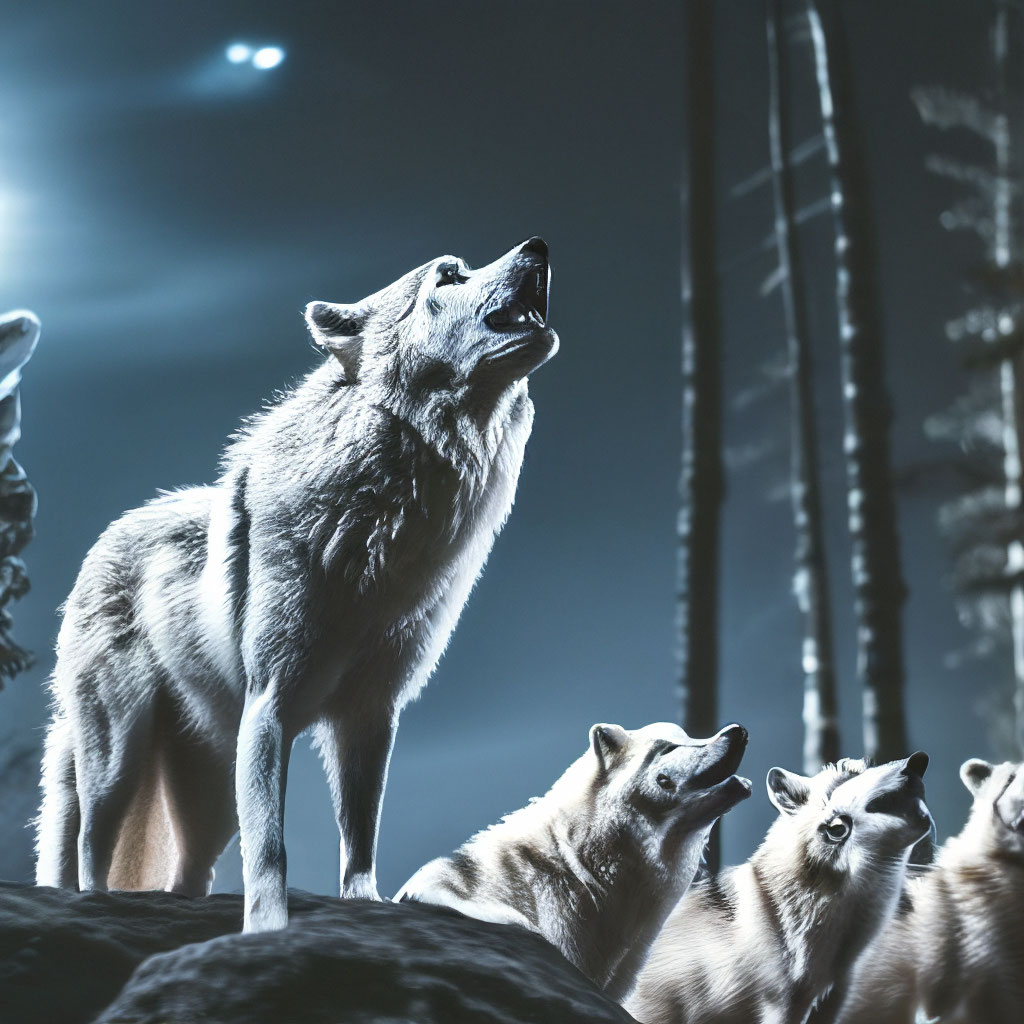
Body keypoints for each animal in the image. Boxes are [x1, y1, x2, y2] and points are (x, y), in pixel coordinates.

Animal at [35, 238, 557, 933]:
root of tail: (104, 541)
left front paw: (365, 906)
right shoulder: (271, 706)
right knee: (92, 845)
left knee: (188, 876)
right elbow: (271, 850)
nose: (538, 246)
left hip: (210, 786)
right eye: (449, 277)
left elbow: (360, 832)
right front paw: (269, 930)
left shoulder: (371, 713)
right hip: (118, 754)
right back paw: (99, 906)